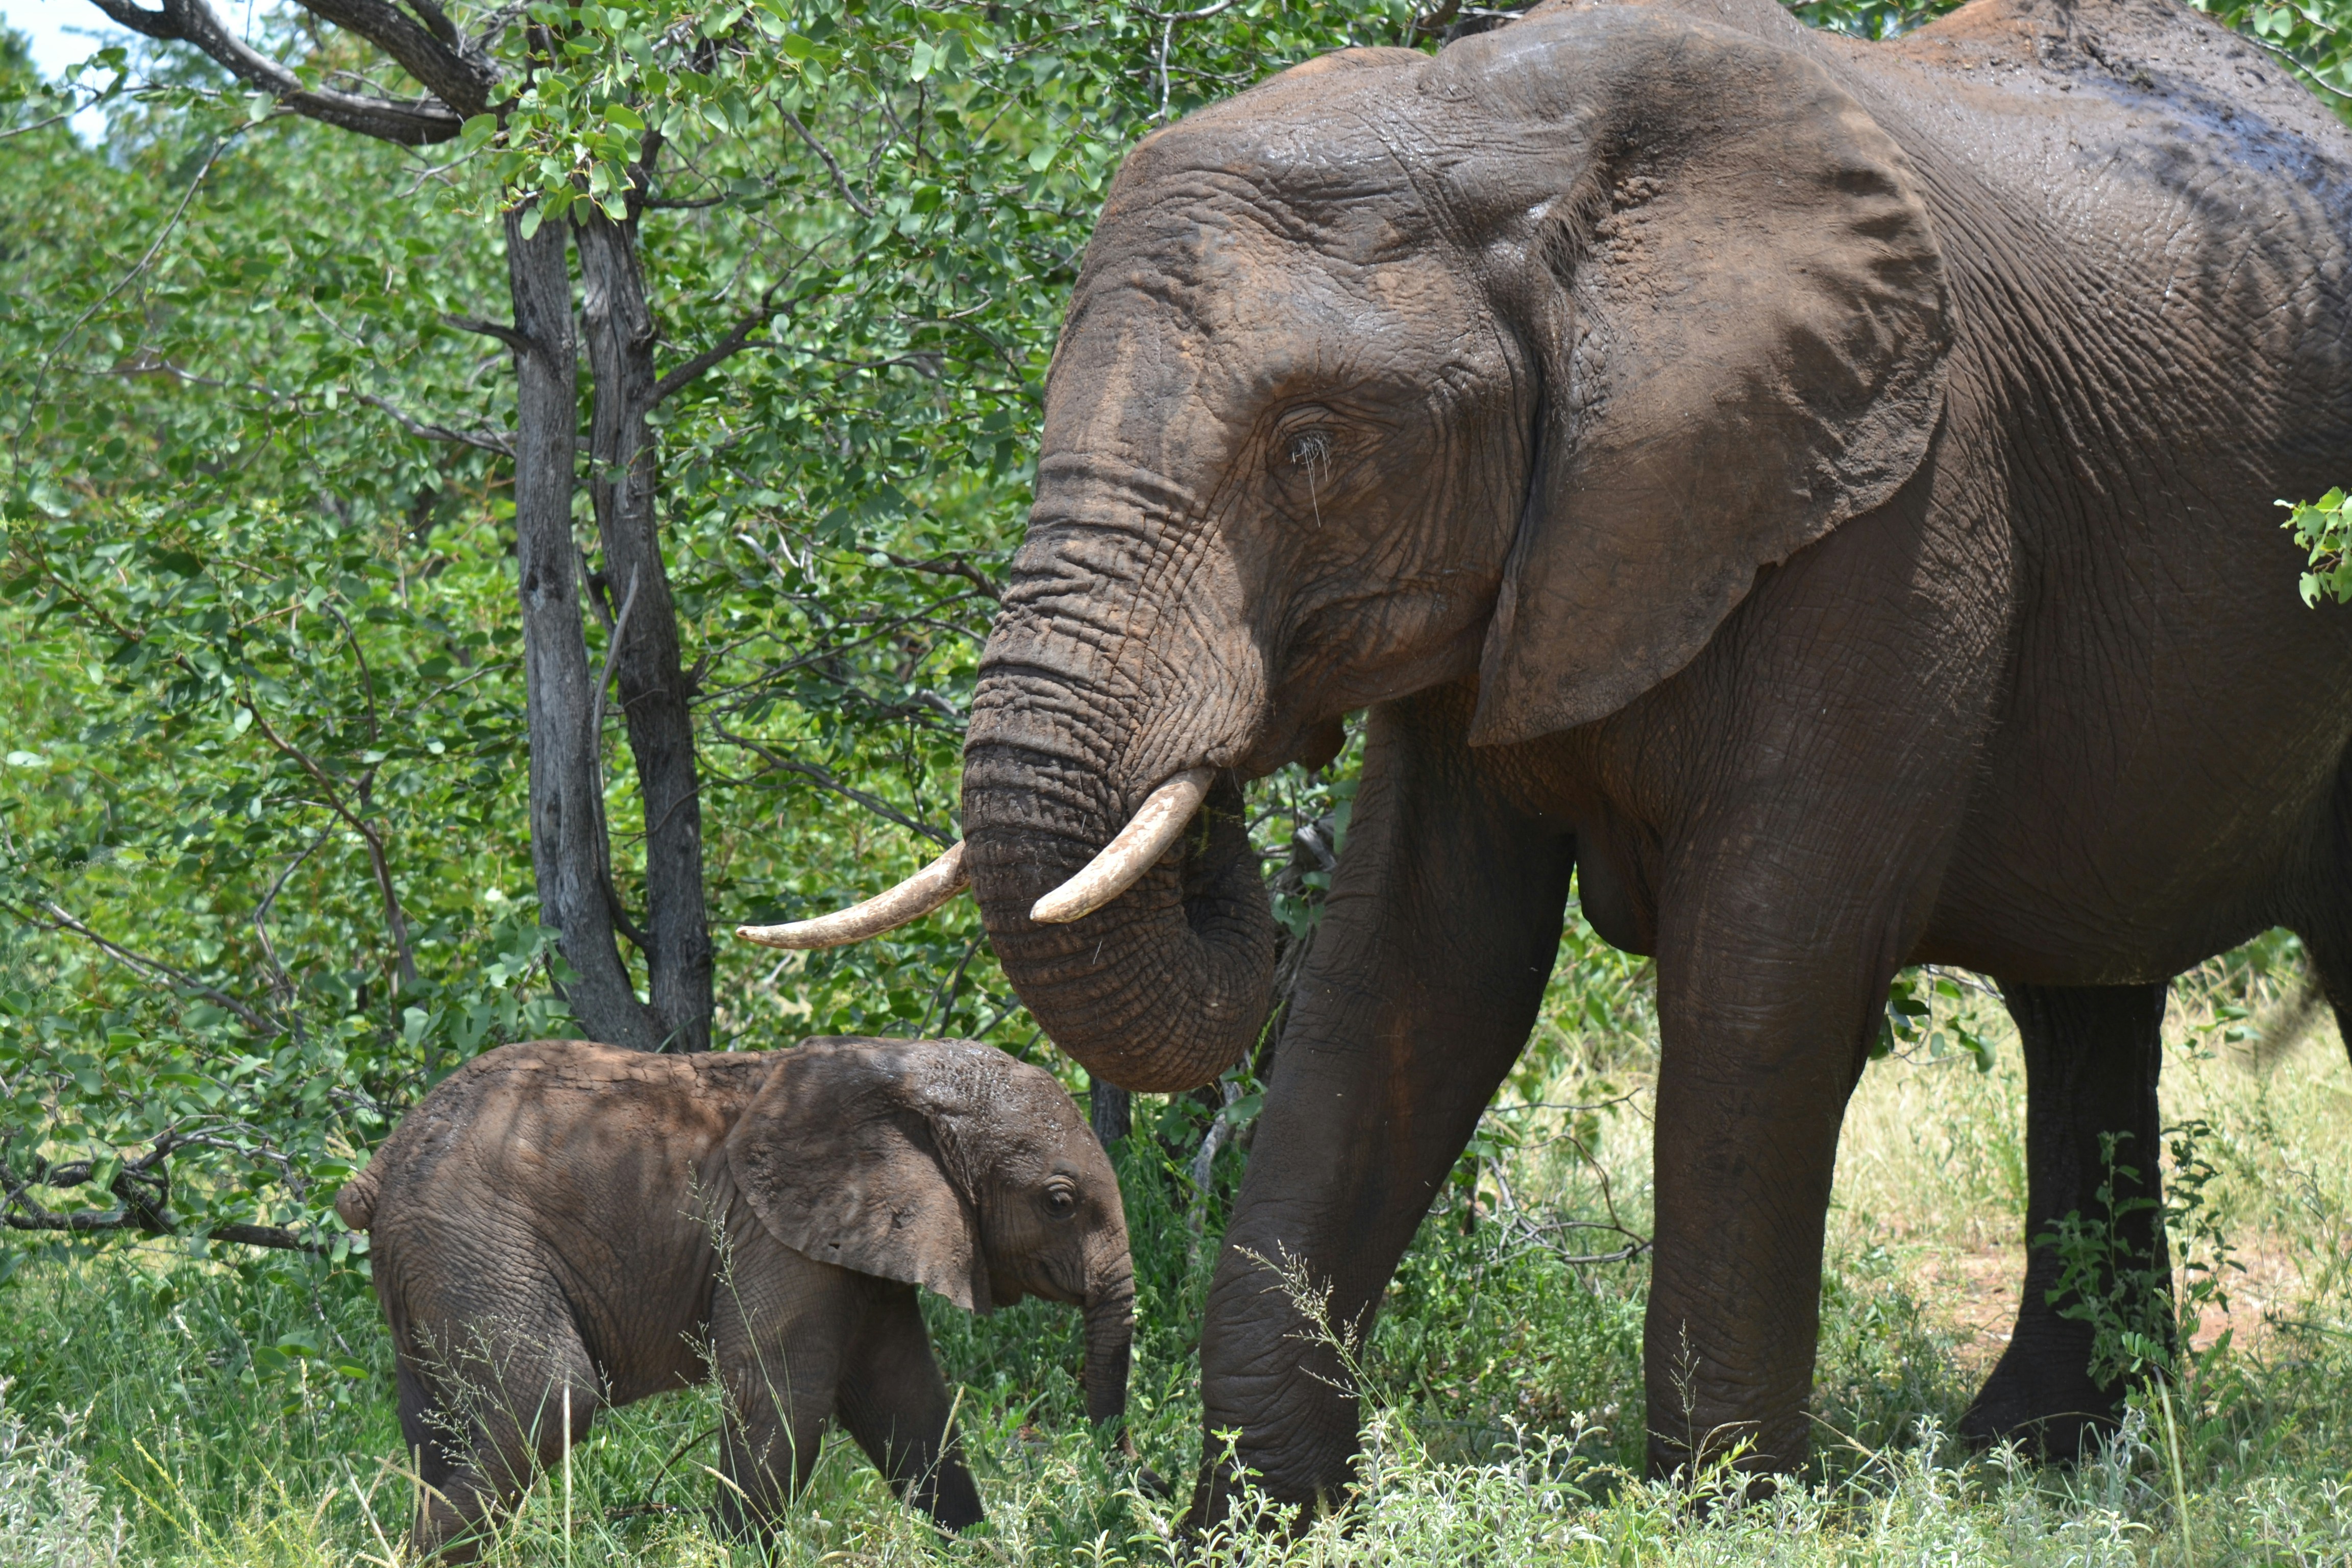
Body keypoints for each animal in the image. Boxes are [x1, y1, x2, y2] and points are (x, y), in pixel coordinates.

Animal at [331, 1035, 1134, 1555]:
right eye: (1059, 1202)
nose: (1133, 1489)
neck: (899, 1070)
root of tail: (379, 1165)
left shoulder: (859, 1235)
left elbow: (906, 1398)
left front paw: (973, 1548)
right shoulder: (776, 1233)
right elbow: (782, 1394)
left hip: (432, 1261)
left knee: (436, 1422)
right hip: (472, 1240)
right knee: (549, 1394)